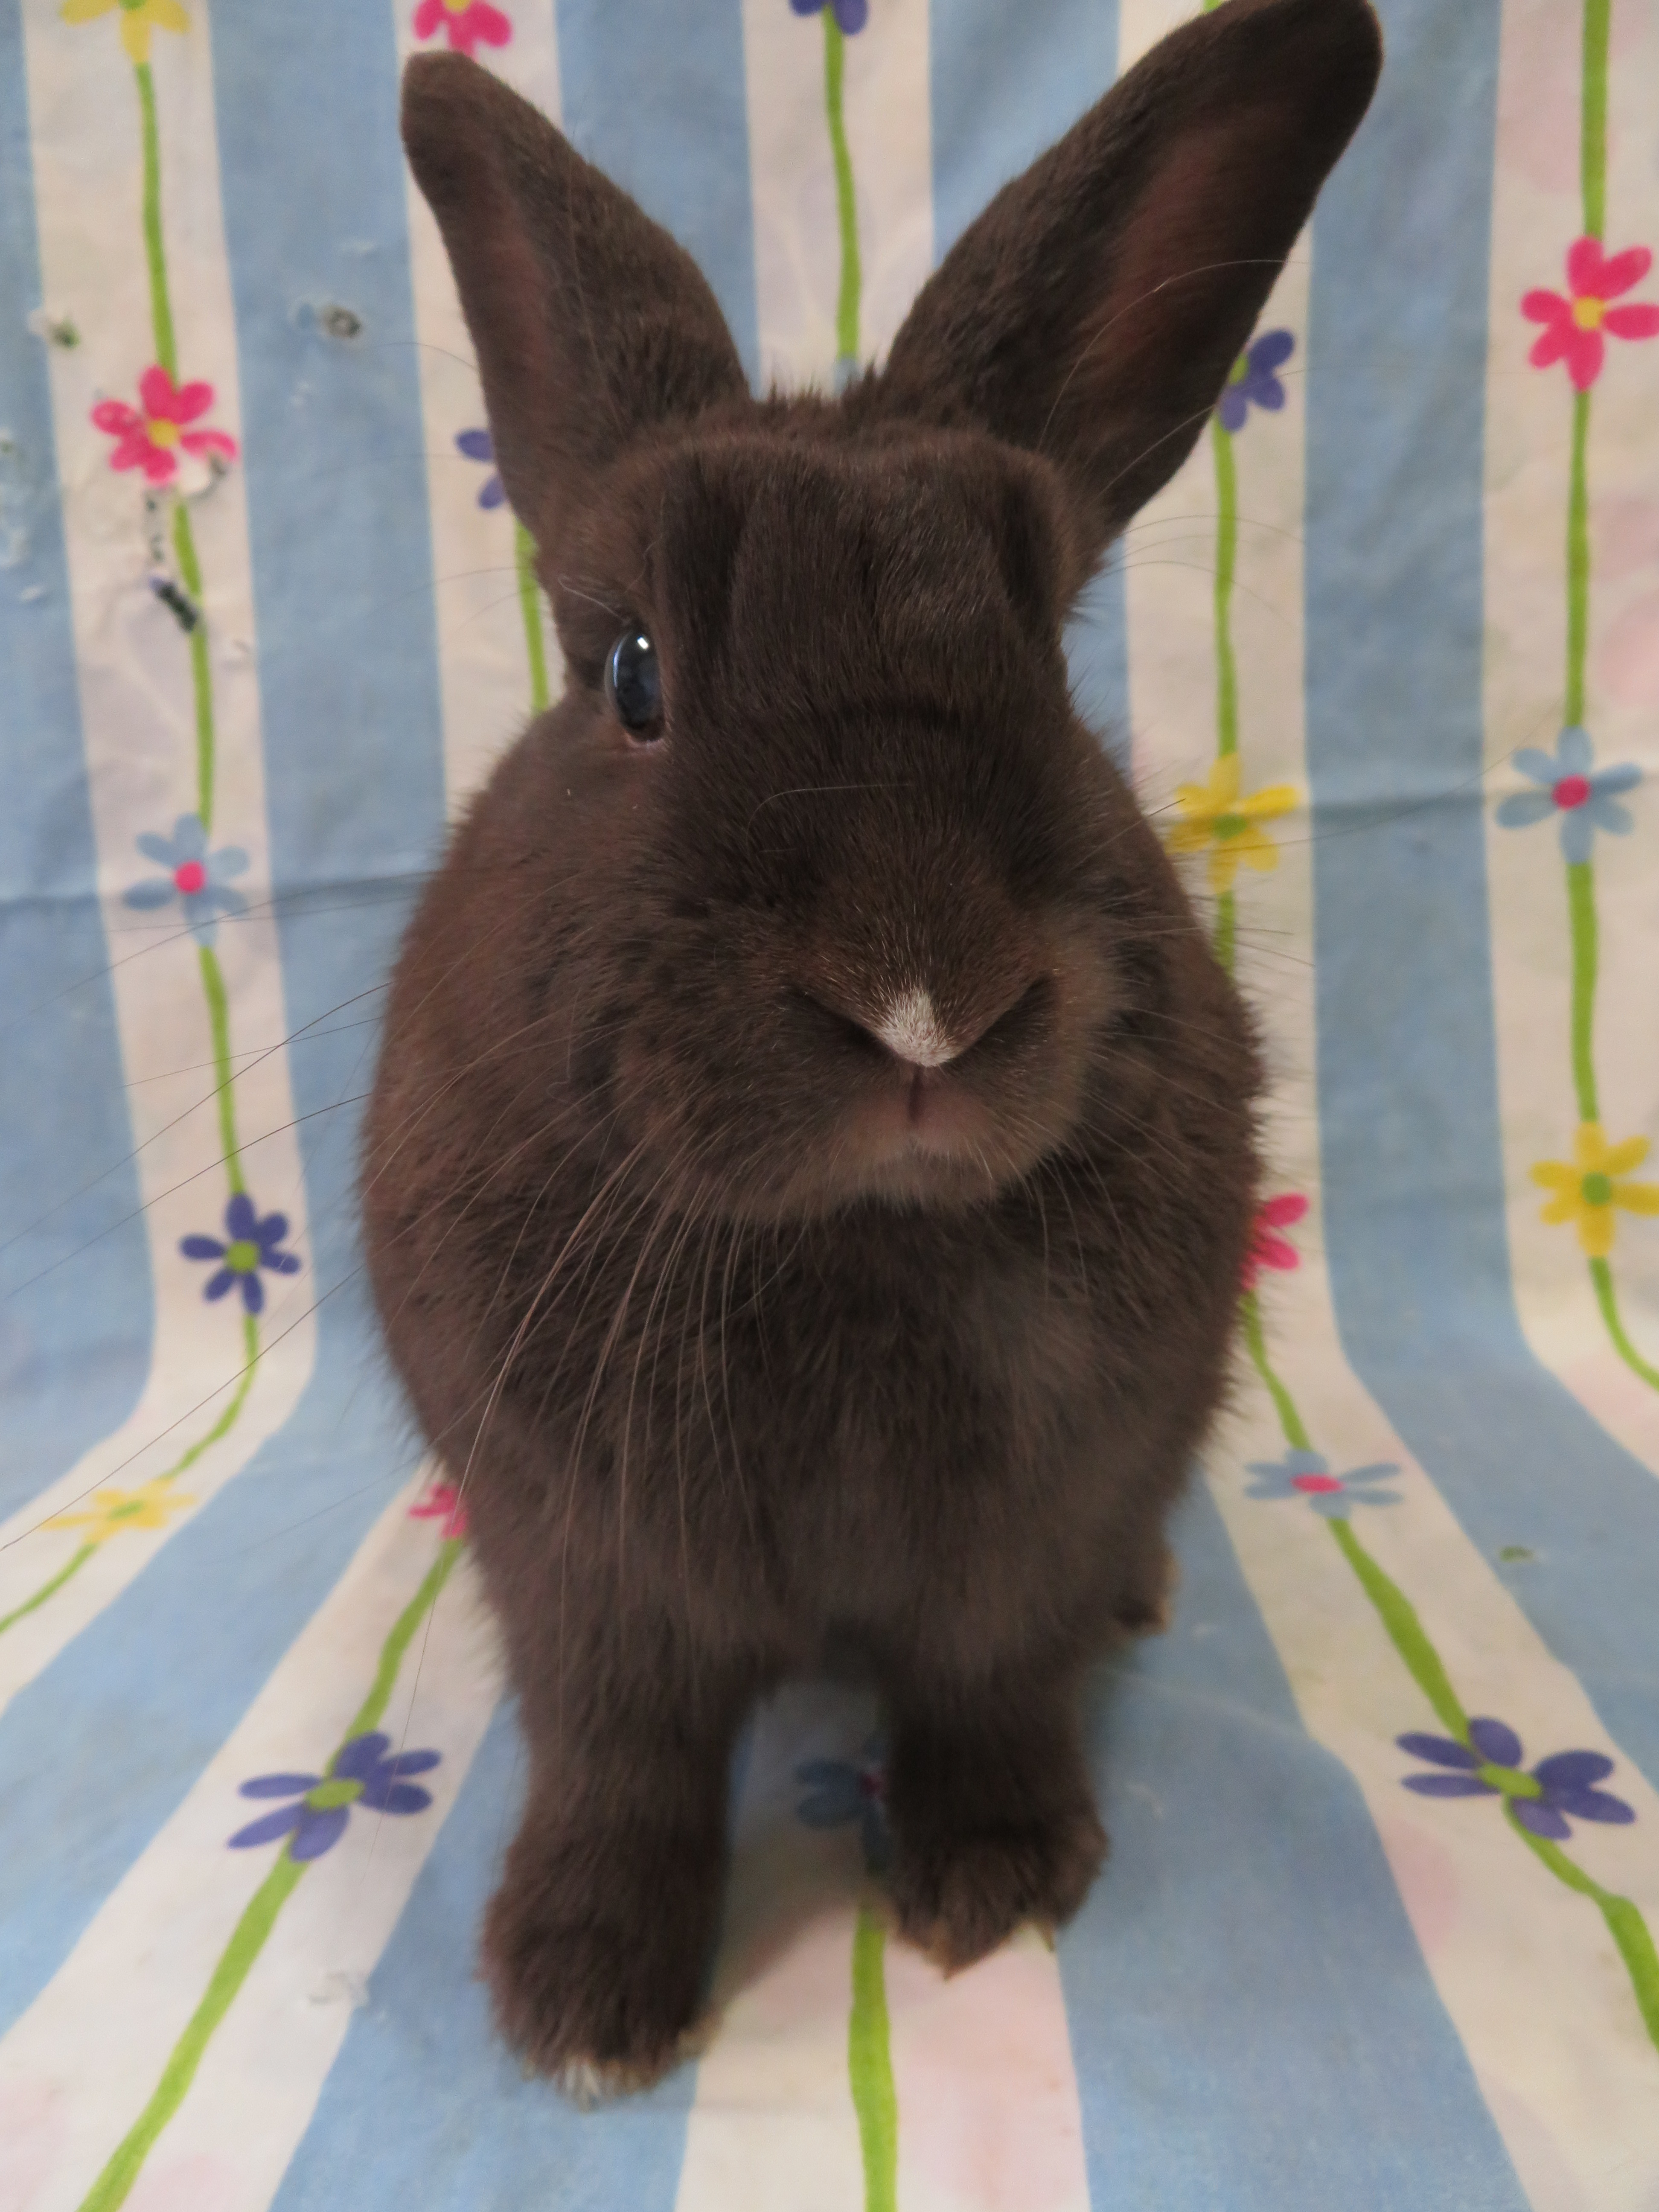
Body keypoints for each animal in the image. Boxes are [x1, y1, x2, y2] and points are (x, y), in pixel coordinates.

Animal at [367, 0, 1382, 2093]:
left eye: (1051, 658)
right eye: (633, 676)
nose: (925, 1005)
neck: (845, 1241)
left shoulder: (1023, 1541)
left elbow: (990, 1684)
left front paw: (991, 1879)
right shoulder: (586, 1574)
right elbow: (622, 1760)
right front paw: (577, 2002)